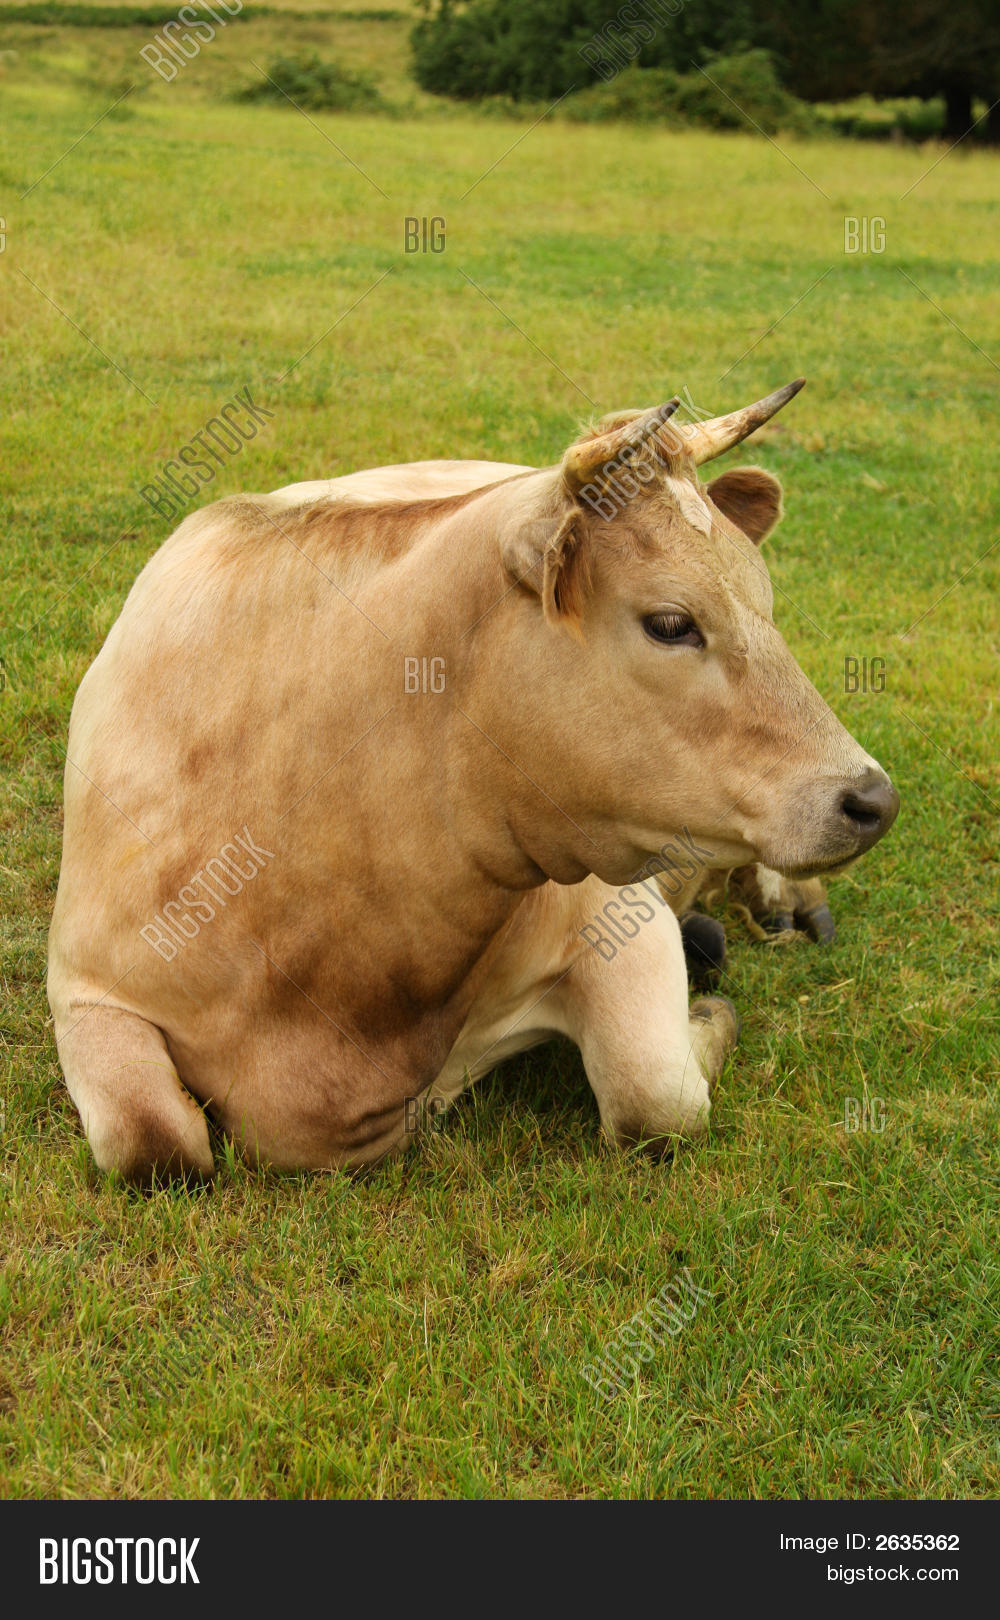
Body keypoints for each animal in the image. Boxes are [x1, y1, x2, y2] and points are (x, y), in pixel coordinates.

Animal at [47, 380, 898, 1182]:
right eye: (670, 623)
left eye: (767, 604)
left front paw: (711, 1015)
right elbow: (152, 1146)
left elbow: (655, 1097)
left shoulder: (615, 915)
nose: (873, 799)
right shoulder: (85, 988)